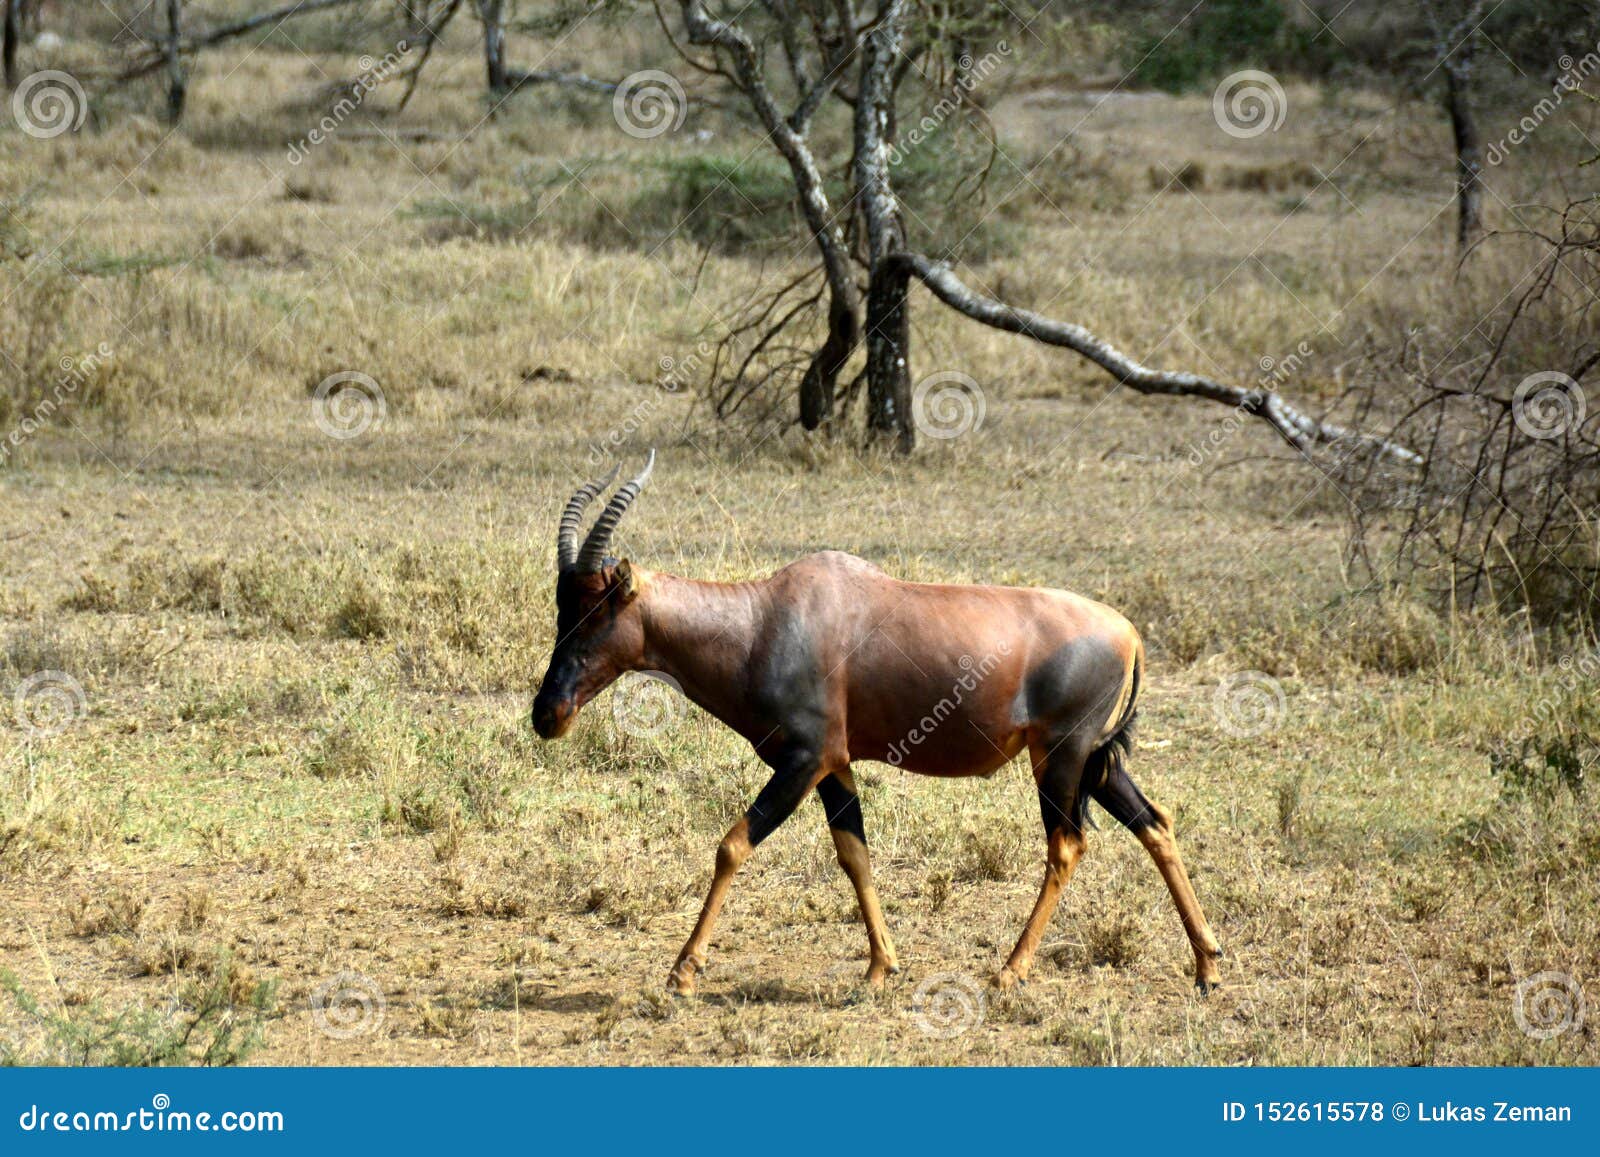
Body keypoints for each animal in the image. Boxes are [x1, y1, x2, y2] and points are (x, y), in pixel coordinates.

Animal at [532, 452, 1222, 995]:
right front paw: (879, 968)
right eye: (561, 604)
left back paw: (1010, 970)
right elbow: (854, 855)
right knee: (1156, 824)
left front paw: (681, 973)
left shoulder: (803, 761)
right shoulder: (834, 766)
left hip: (1060, 756)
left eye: (595, 609)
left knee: (1067, 845)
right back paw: (1208, 966)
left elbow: (731, 845)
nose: (547, 715)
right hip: (1097, 760)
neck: (766, 619)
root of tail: (1129, 632)